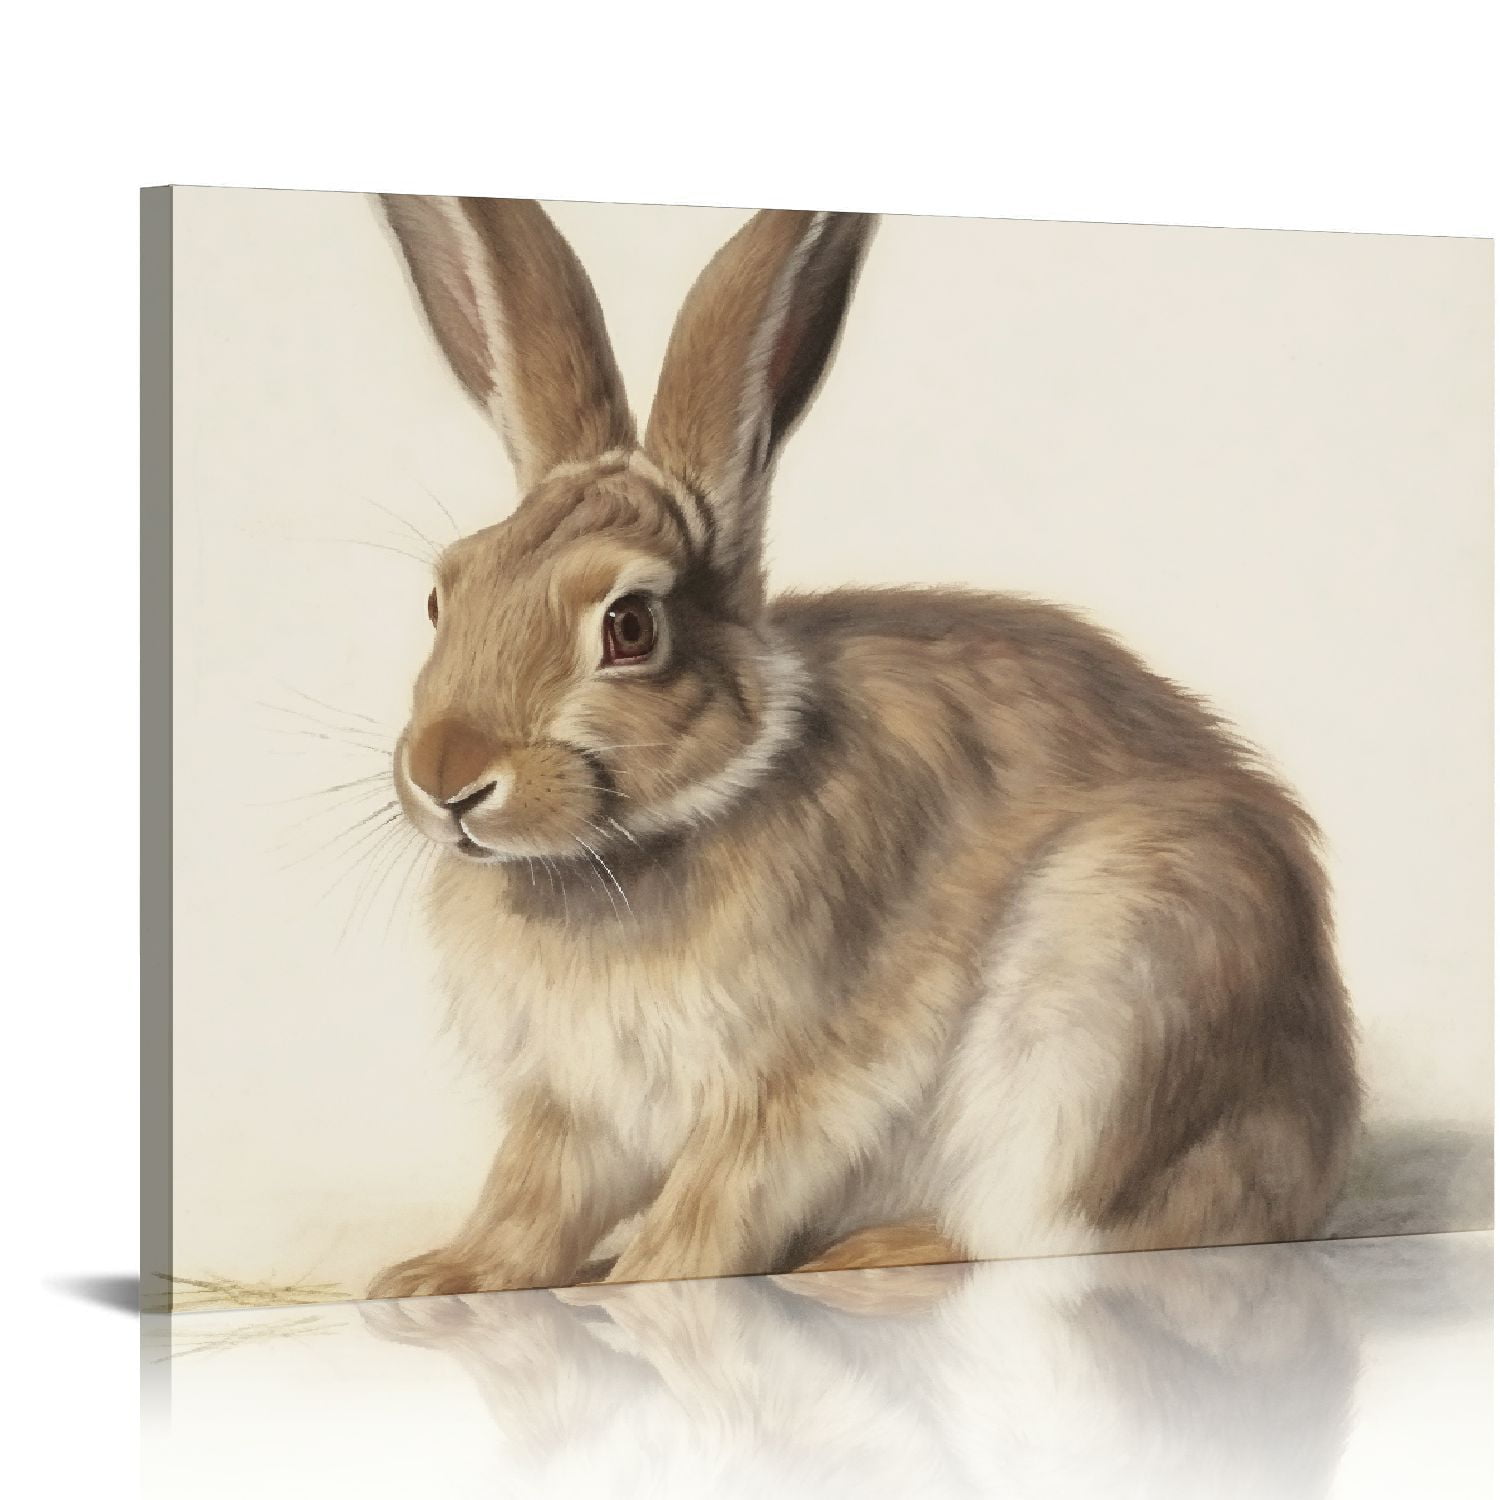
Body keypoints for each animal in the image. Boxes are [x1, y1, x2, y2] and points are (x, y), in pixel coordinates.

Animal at [366, 195, 1359, 1302]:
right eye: (442, 596)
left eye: (629, 626)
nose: (448, 779)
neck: (625, 850)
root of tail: (1318, 1152)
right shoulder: (572, 1106)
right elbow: (531, 1198)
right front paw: (438, 1278)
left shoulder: (795, 1079)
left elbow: (716, 1199)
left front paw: (645, 1279)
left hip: (1121, 1004)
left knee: (1058, 1234)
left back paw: (875, 1253)